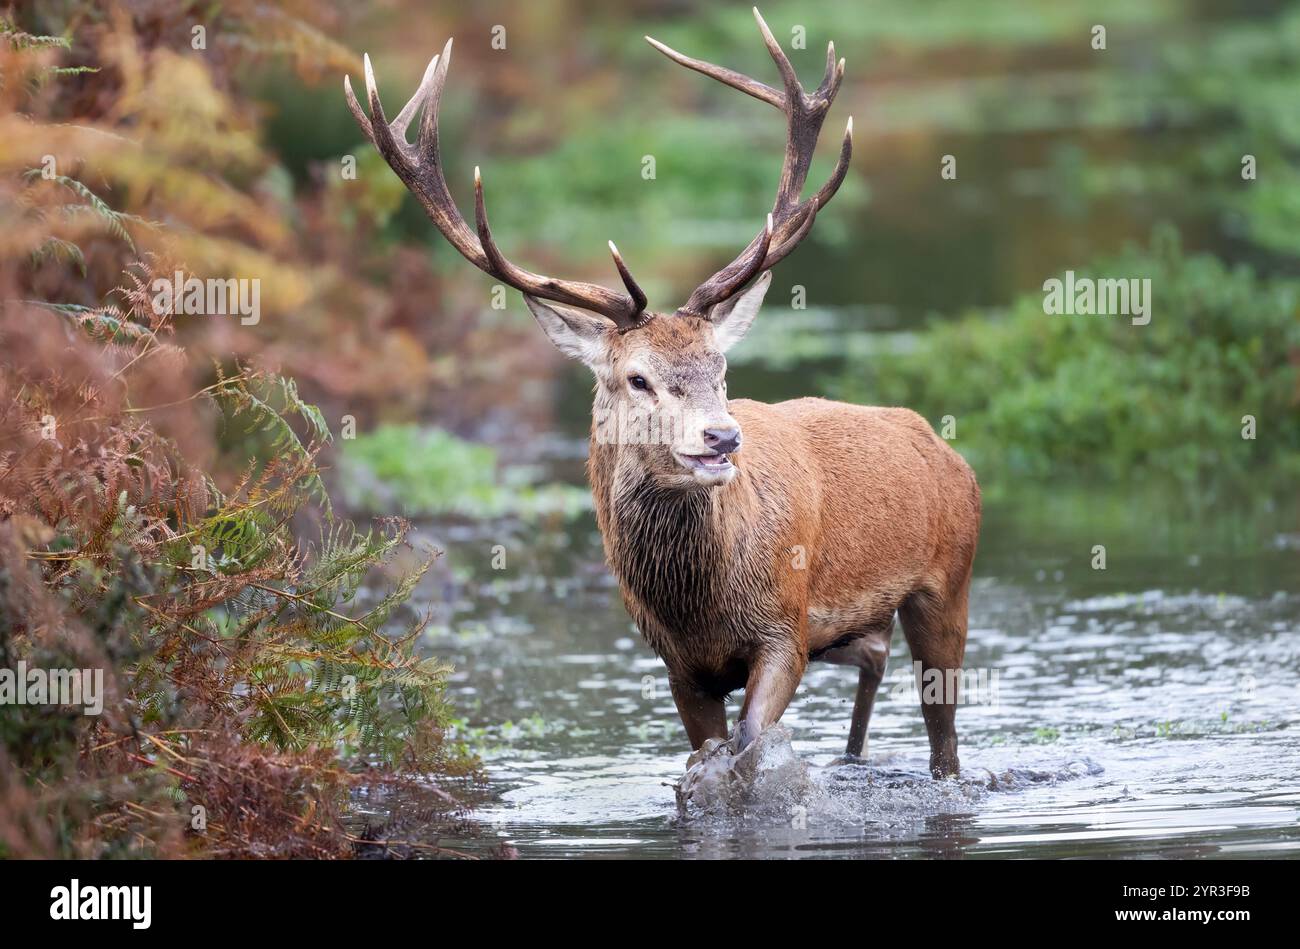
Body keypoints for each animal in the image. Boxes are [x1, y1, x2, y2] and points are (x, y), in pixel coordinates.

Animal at [344, 7, 981, 778]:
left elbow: (747, 746)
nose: (722, 436)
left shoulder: (785, 627)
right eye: (637, 378)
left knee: (943, 731)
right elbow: (706, 753)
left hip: (949, 580)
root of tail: (946, 451)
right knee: (873, 660)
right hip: (865, 623)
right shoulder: (679, 667)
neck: (700, 606)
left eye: (721, 366)